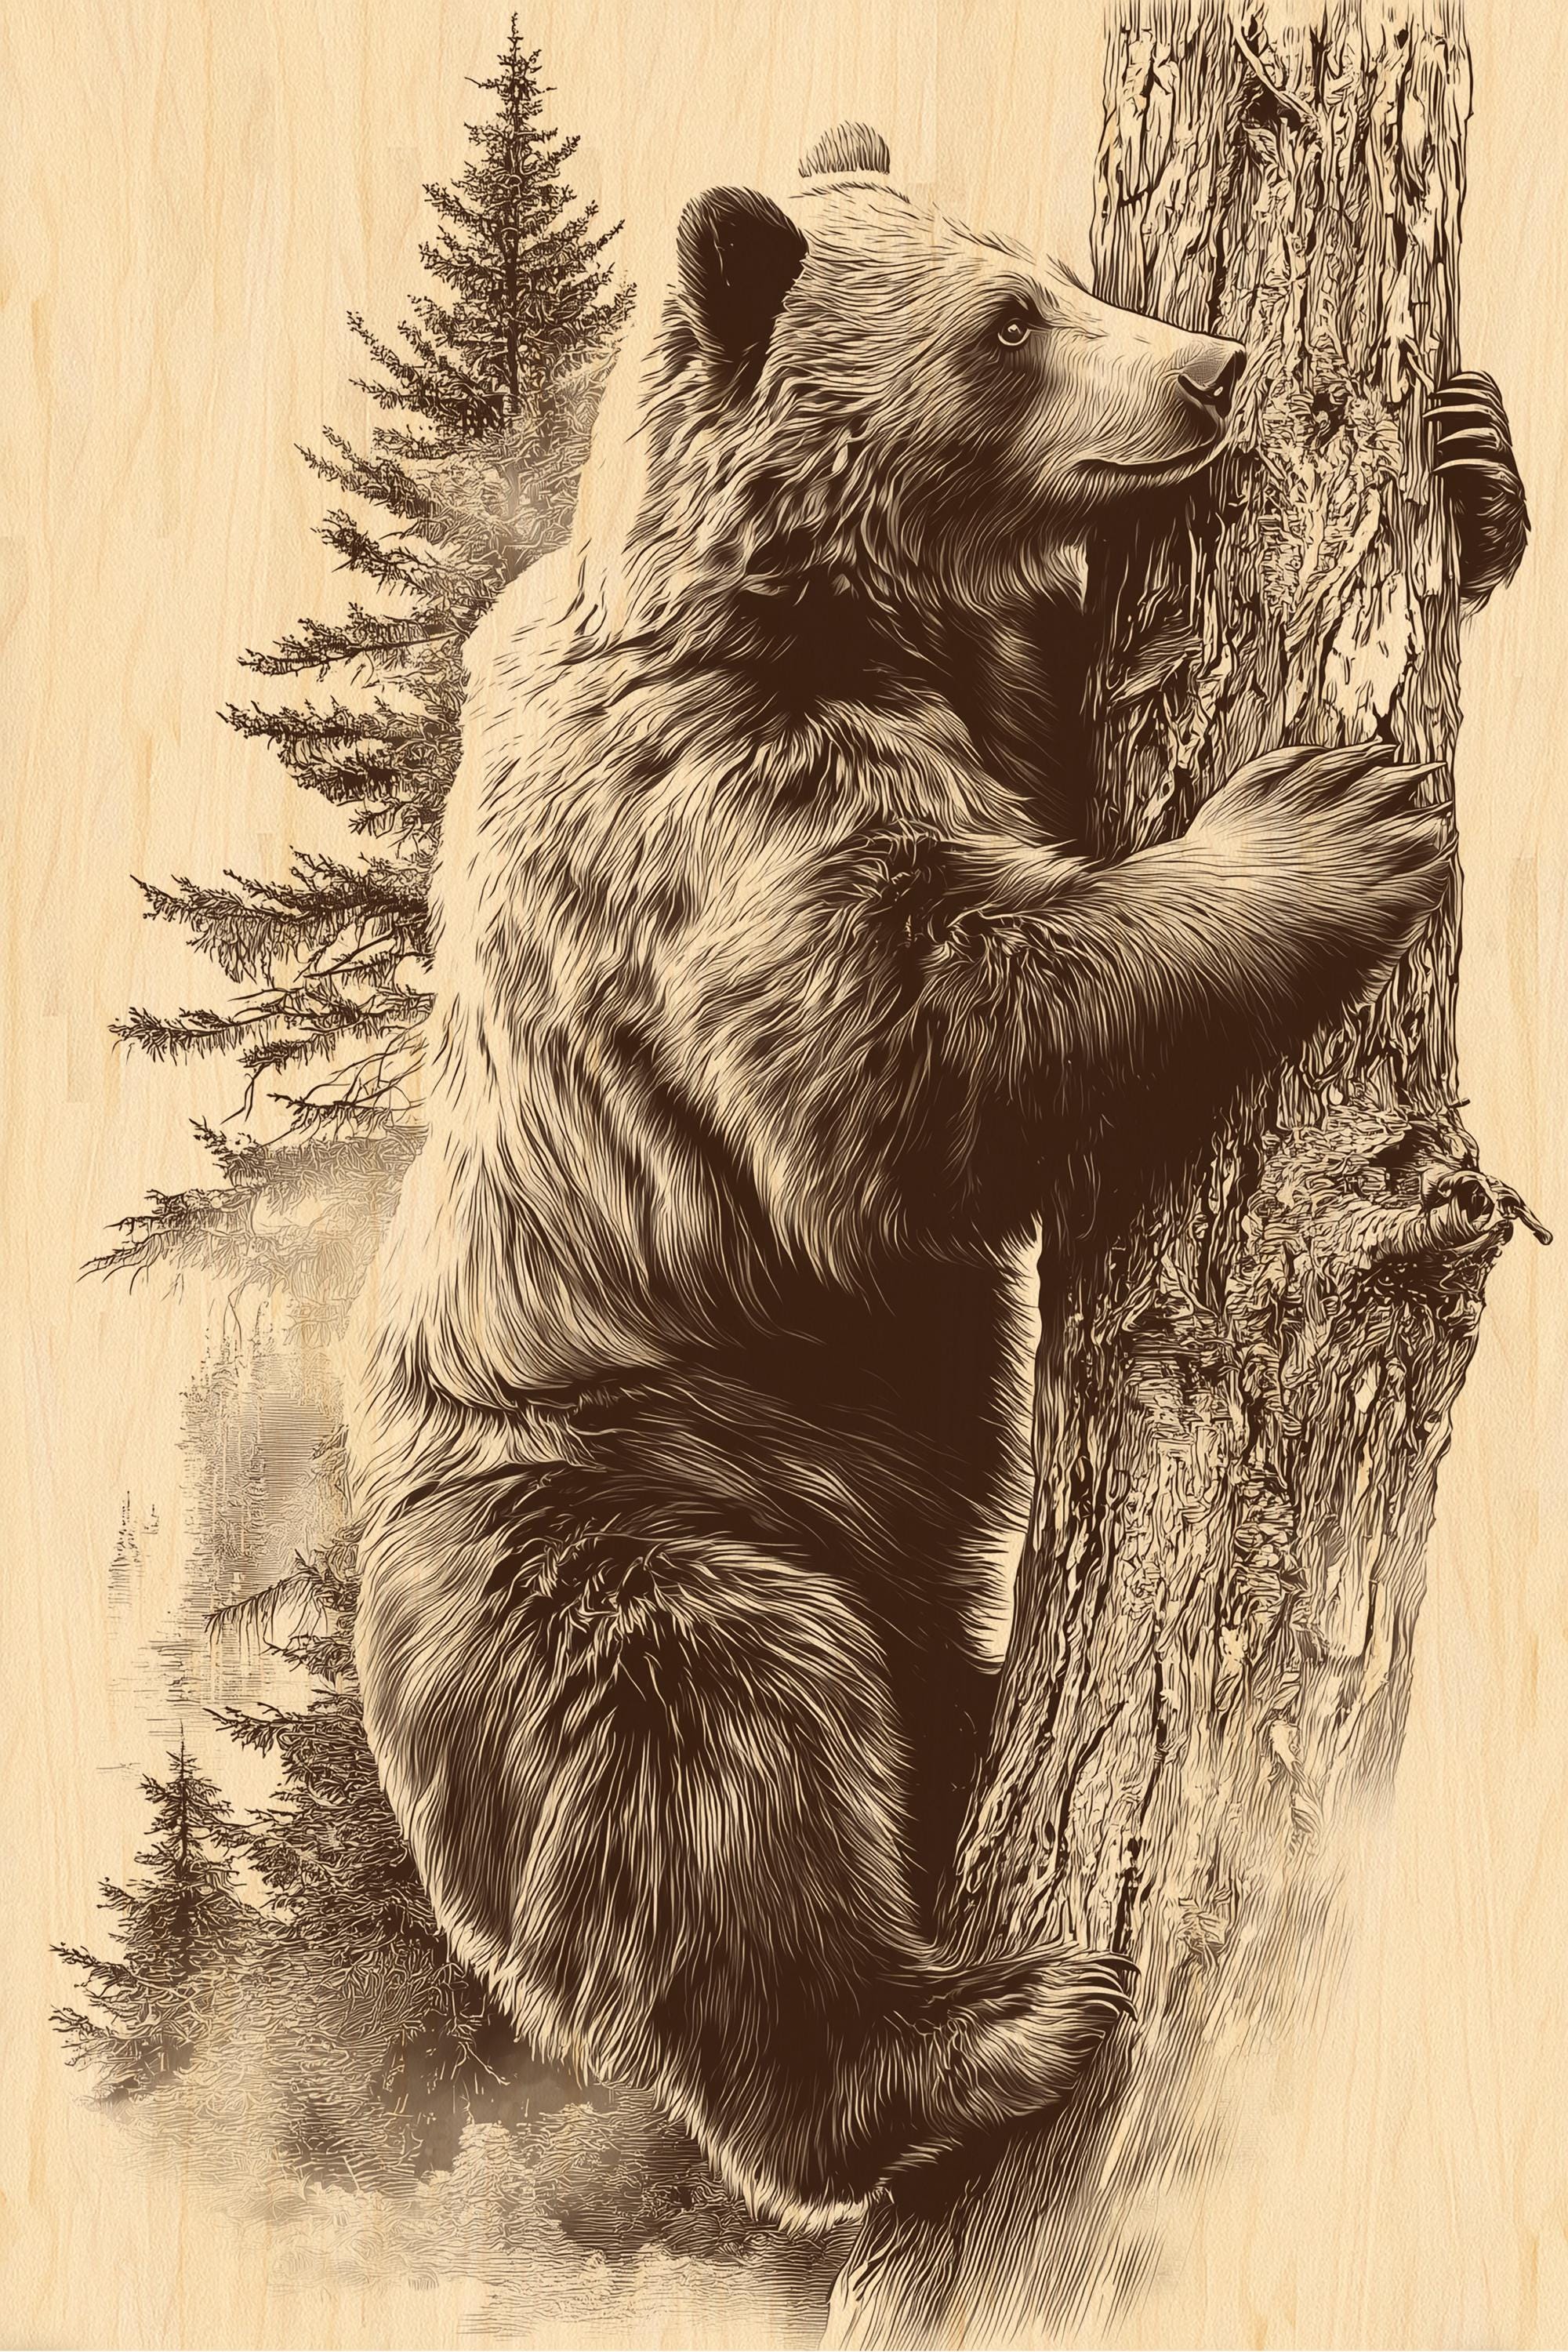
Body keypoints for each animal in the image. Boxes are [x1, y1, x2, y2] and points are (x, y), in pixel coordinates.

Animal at [345, 123, 1526, 2226]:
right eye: (1005, 325)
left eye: (1050, 267)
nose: (1212, 368)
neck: (817, 609)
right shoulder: (724, 818)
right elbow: (920, 1046)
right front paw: (1320, 819)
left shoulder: (978, 694)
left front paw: (1469, 449)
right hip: (614, 1529)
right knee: (720, 1768)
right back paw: (970, 2037)